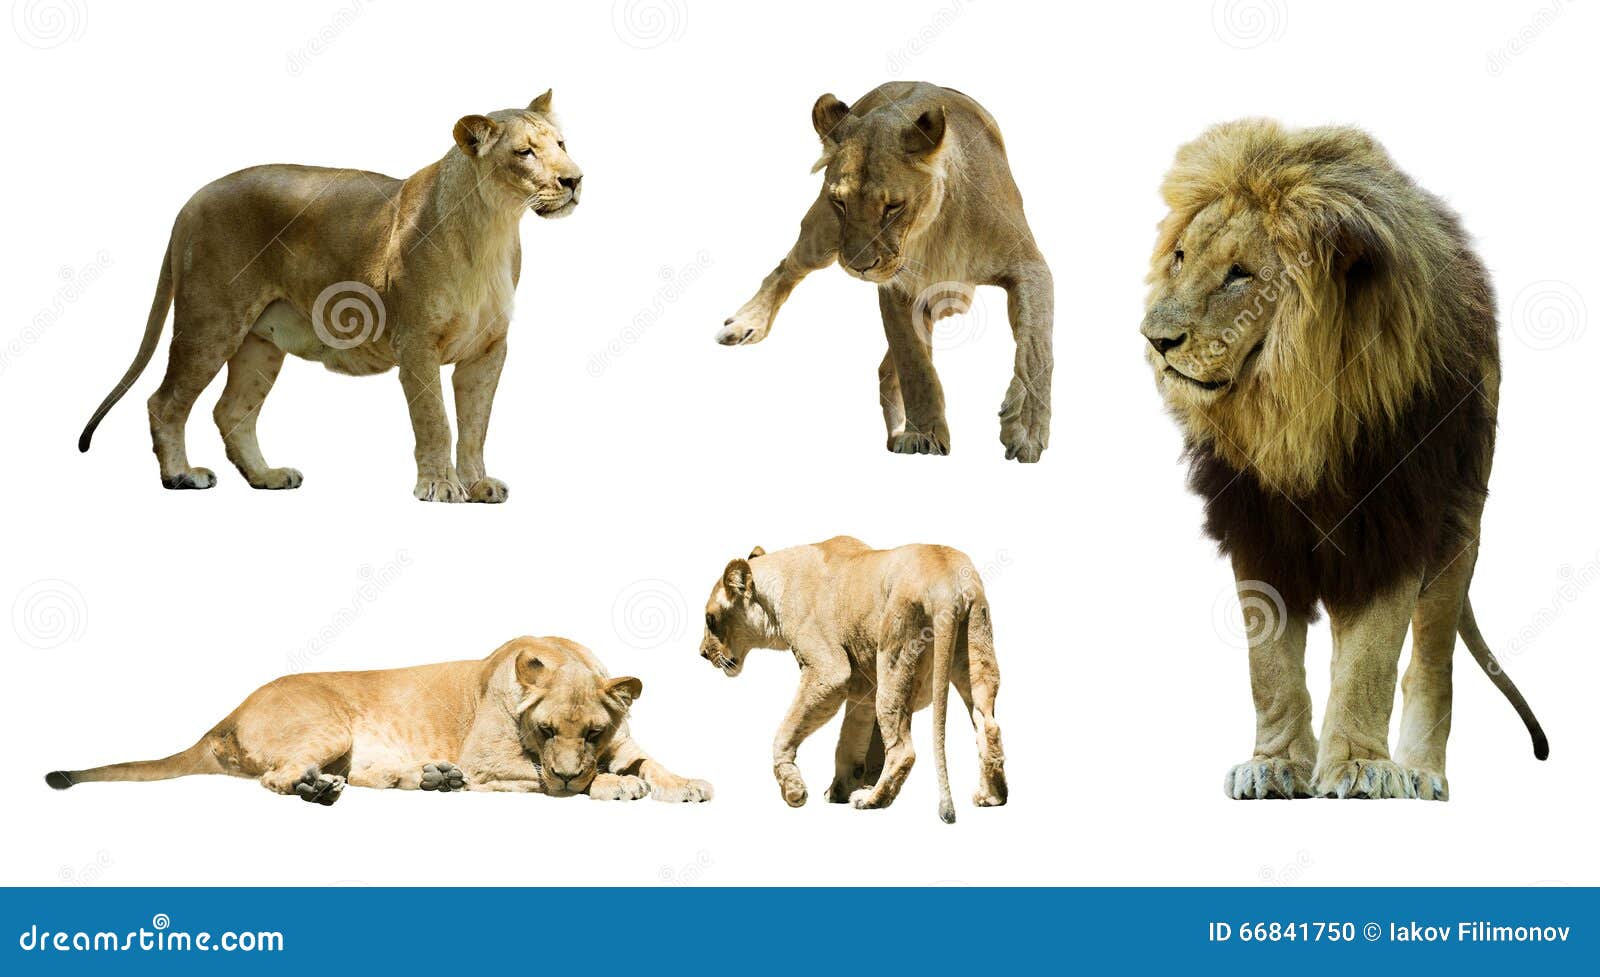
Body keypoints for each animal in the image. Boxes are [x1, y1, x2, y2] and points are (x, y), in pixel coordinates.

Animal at [44, 636, 712, 806]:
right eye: (547, 731)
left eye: (594, 731)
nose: (572, 770)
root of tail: (225, 716)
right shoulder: (490, 763)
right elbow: (561, 780)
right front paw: (615, 785)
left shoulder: (619, 739)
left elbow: (651, 760)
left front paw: (687, 784)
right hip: (329, 729)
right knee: (274, 780)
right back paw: (319, 789)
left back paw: (426, 779)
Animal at [77, 92, 583, 503]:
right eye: (524, 152)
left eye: (561, 145)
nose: (575, 180)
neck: (494, 228)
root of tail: (191, 201)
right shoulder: (416, 343)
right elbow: (435, 419)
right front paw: (440, 486)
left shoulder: (488, 350)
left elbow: (476, 425)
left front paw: (477, 484)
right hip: (210, 321)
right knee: (164, 401)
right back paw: (181, 476)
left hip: (260, 344)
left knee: (232, 411)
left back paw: (267, 477)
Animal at [697, 537, 1007, 823]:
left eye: (710, 619)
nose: (702, 653)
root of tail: (944, 580)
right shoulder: (863, 687)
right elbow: (850, 739)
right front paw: (839, 790)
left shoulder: (829, 672)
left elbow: (787, 730)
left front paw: (794, 789)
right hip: (975, 650)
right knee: (988, 725)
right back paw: (992, 796)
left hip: (894, 658)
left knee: (903, 750)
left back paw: (871, 800)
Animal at [715, 82, 1053, 463]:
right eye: (840, 202)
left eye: (893, 207)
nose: (859, 266)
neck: (932, 230)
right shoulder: (897, 289)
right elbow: (915, 365)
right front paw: (925, 434)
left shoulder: (1028, 266)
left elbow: (1035, 348)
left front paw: (1026, 430)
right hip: (821, 237)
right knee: (785, 268)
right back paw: (747, 323)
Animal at [1140, 118, 1549, 800]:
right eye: (1179, 259)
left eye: (1239, 275)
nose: (1155, 338)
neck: (1301, 419)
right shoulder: (1258, 528)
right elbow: (1270, 668)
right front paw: (1275, 764)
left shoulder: (1395, 522)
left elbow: (1371, 660)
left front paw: (1359, 766)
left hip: (1459, 527)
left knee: (1430, 660)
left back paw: (1421, 773)